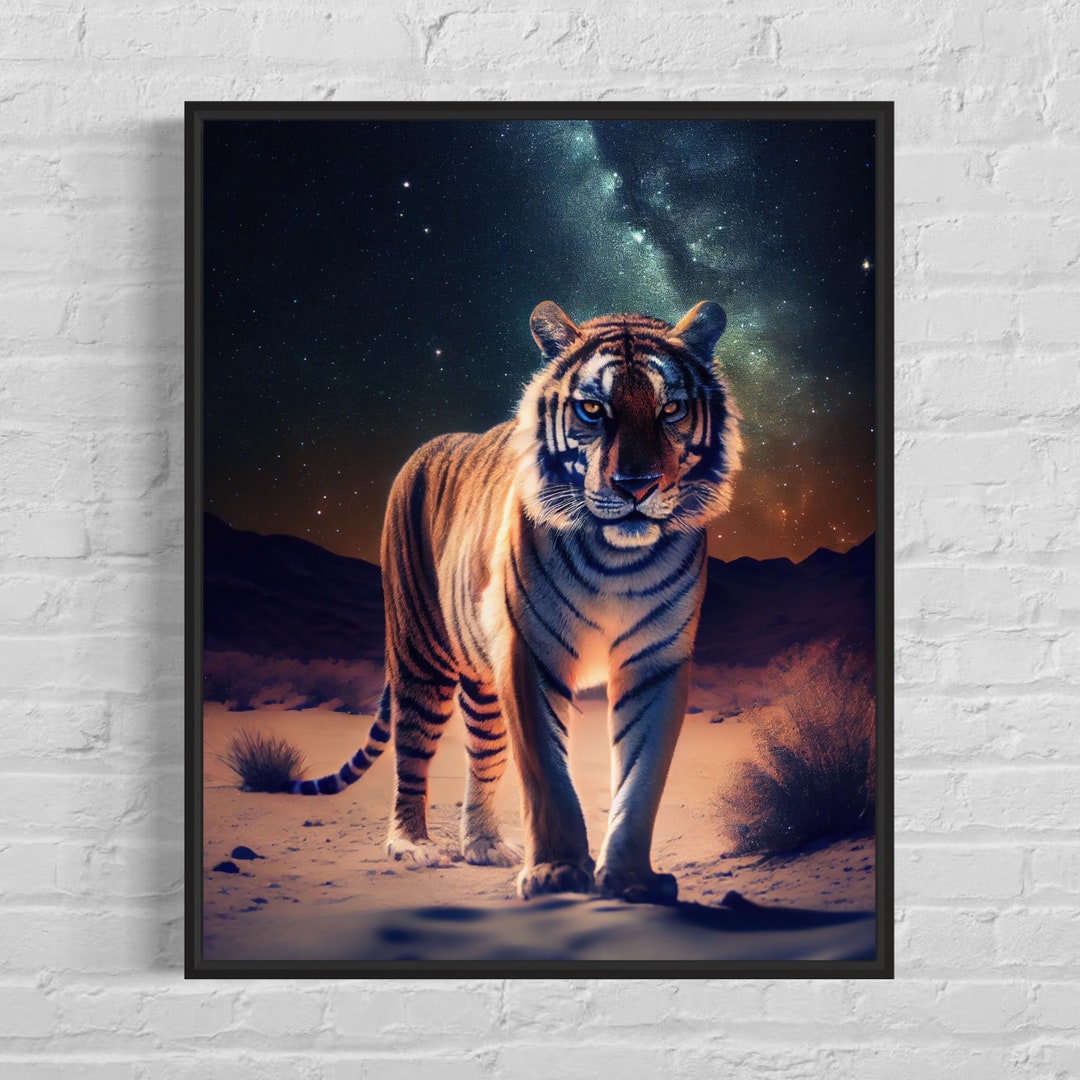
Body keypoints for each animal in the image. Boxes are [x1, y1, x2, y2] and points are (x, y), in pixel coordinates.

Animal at [287, 300, 741, 903]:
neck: (617, 556)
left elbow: (641, 779)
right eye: (592, 409)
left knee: (482, 758)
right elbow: (547, 771)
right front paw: (556, 872)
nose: (636, 486)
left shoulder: (657, 662)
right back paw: (411, 845)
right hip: (419, 657)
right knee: (411, 751)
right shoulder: (531, 650)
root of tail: (424, 447)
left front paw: (630, 879)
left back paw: (483, 845)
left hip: (482, 687)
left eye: (671, 409)